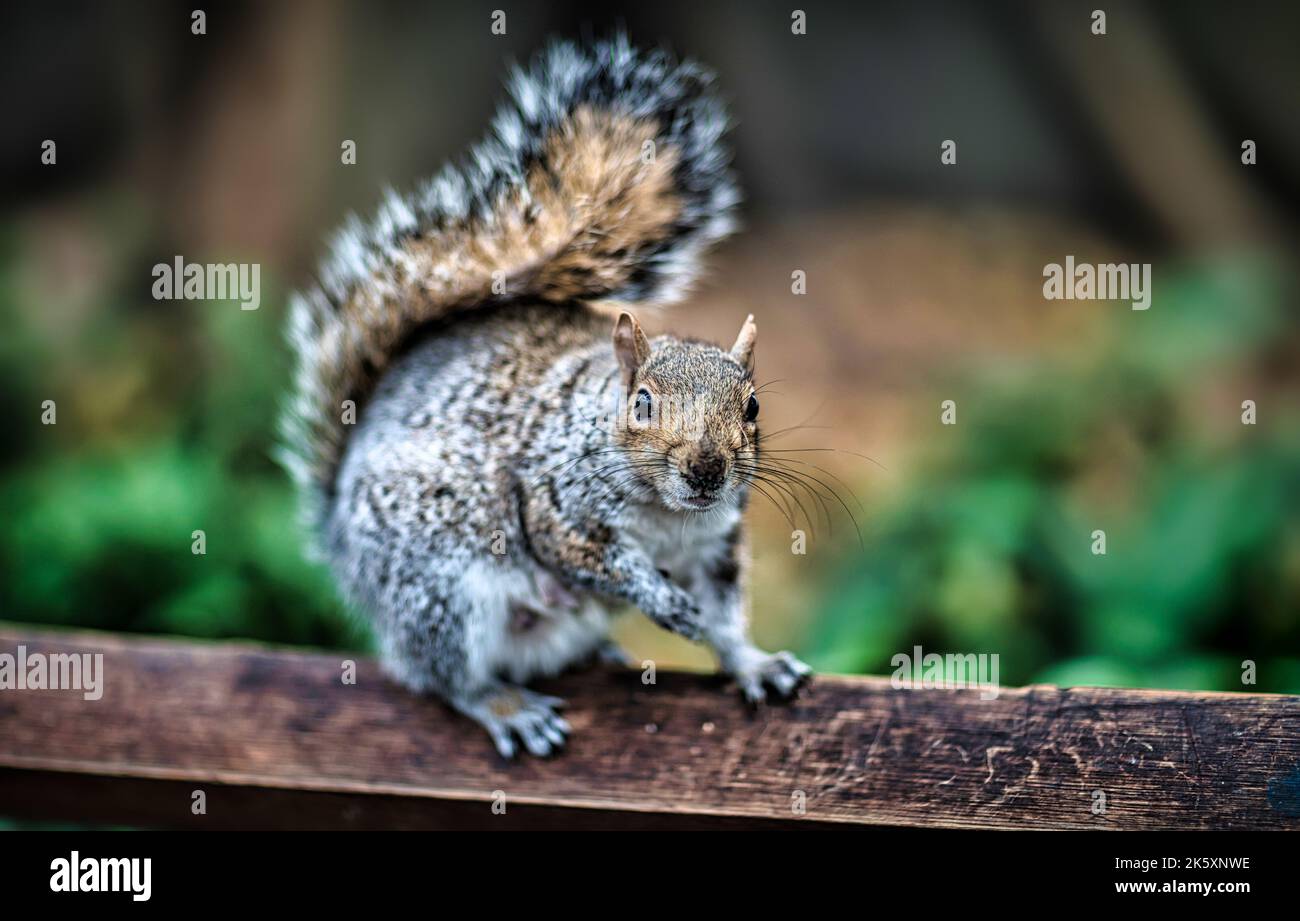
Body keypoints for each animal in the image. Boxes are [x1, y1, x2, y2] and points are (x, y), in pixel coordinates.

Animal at [280, 35, 811, 758]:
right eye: (642, 403)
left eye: (752, 407)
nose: (706, 471)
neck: (667, 517)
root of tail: (336, 534)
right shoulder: (551, 502)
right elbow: (597, 560)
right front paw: (660, 599)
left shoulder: (714, 548)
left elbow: (725, 620)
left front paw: (754, 663)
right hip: (437, 587)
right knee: (447, 676)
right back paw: (506, 706)